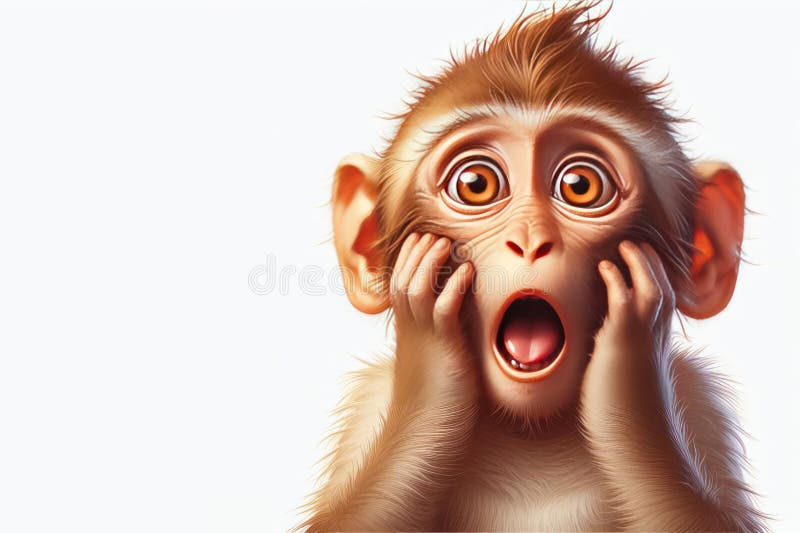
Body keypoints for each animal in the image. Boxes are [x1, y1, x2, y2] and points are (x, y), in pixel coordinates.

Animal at [297, 4, 767, 531]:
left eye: (580, 185)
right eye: (476, 183)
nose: (529, 240)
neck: (531, 440)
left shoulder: (702, 405)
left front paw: (628, 361)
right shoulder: (369, 406)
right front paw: (431, 358)